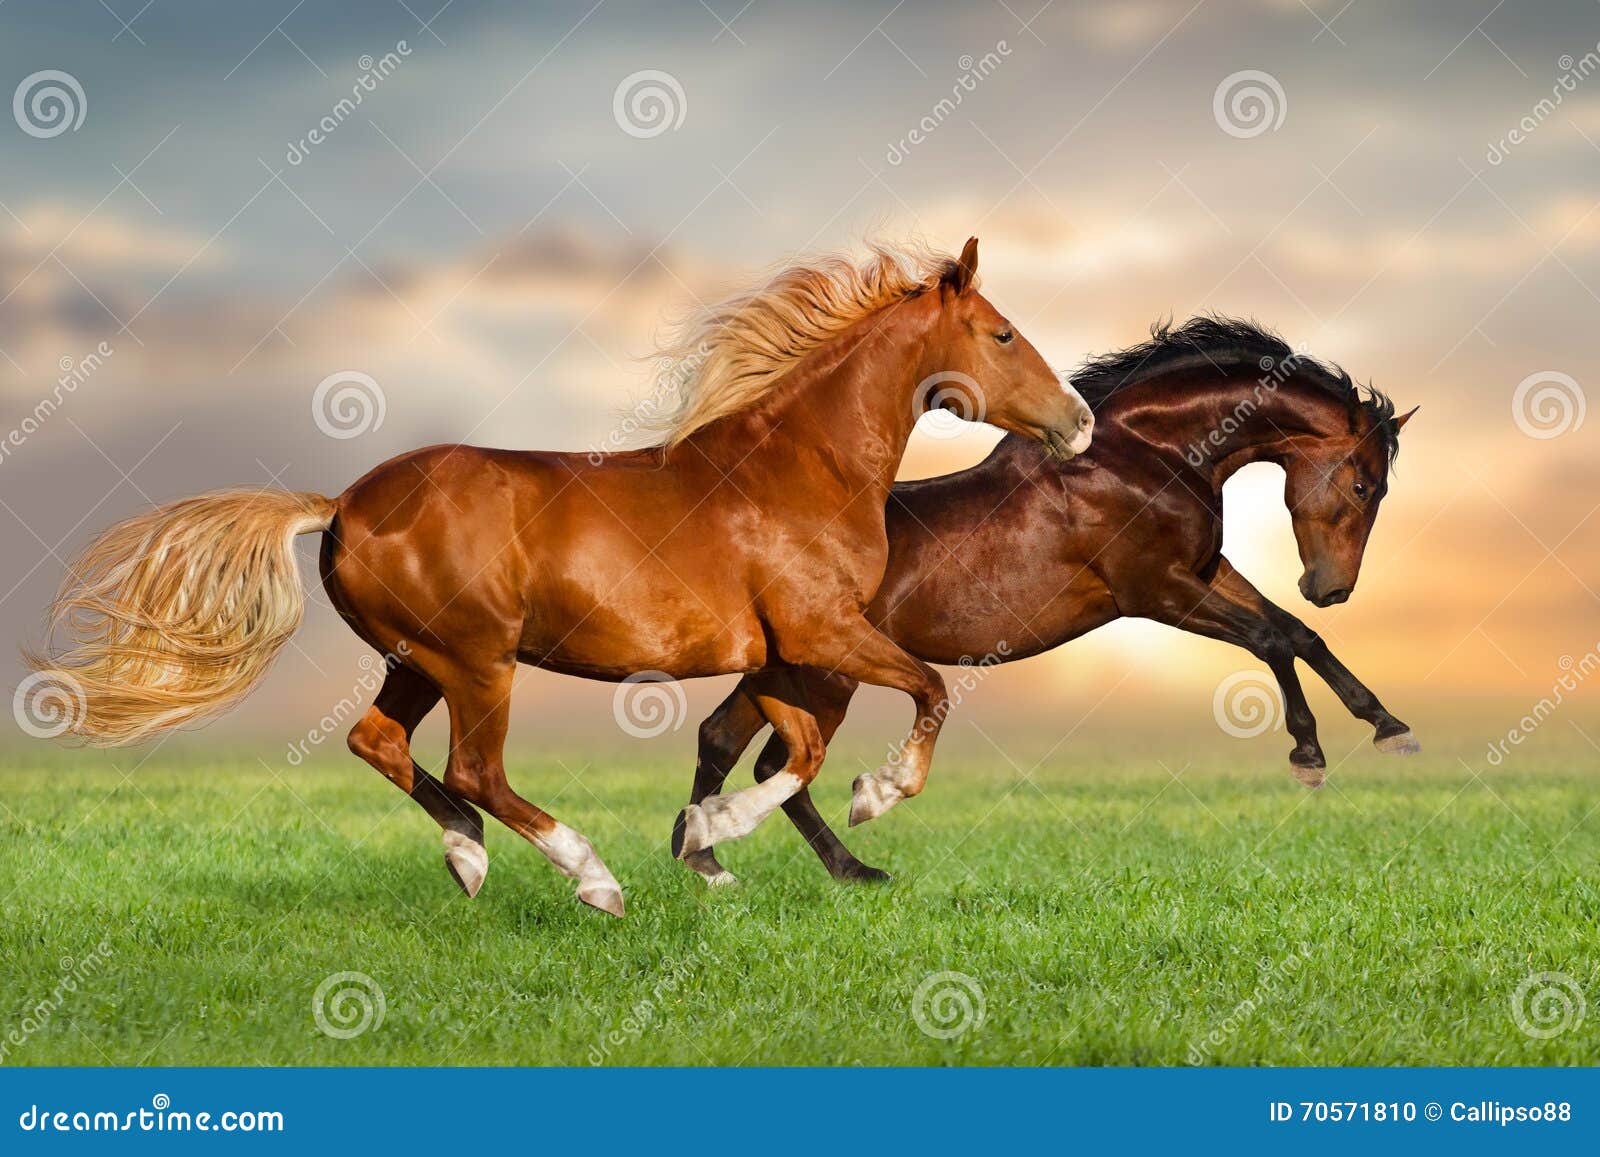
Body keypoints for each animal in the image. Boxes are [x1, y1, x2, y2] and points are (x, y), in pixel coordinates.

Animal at [24, 238, 1095, 916]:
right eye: (1003, 333)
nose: (1079, 421)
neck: (798, 469)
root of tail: (343, 504)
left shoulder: (788, 653)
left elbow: (792, 748)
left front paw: (710, 841)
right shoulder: (820, 634)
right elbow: (919, 696)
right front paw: (849, 806)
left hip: (418, 658)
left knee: (380, 741)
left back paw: (467, 857)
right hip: (477, 660)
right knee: (475, 770)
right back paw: (591, 878)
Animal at [680, 316, 1418, 886]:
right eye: (1363, 485)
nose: (1331, 588)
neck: (1145, 455)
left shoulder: (1207, 572)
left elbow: (1297, 634)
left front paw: (1388, 725)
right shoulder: (1157, 591)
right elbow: (1270, 640)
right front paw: (1309, 755)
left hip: (783, 672)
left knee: (723, 739)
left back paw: (721, 857)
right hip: (827, 674)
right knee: (775, 761)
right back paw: (834, 857)